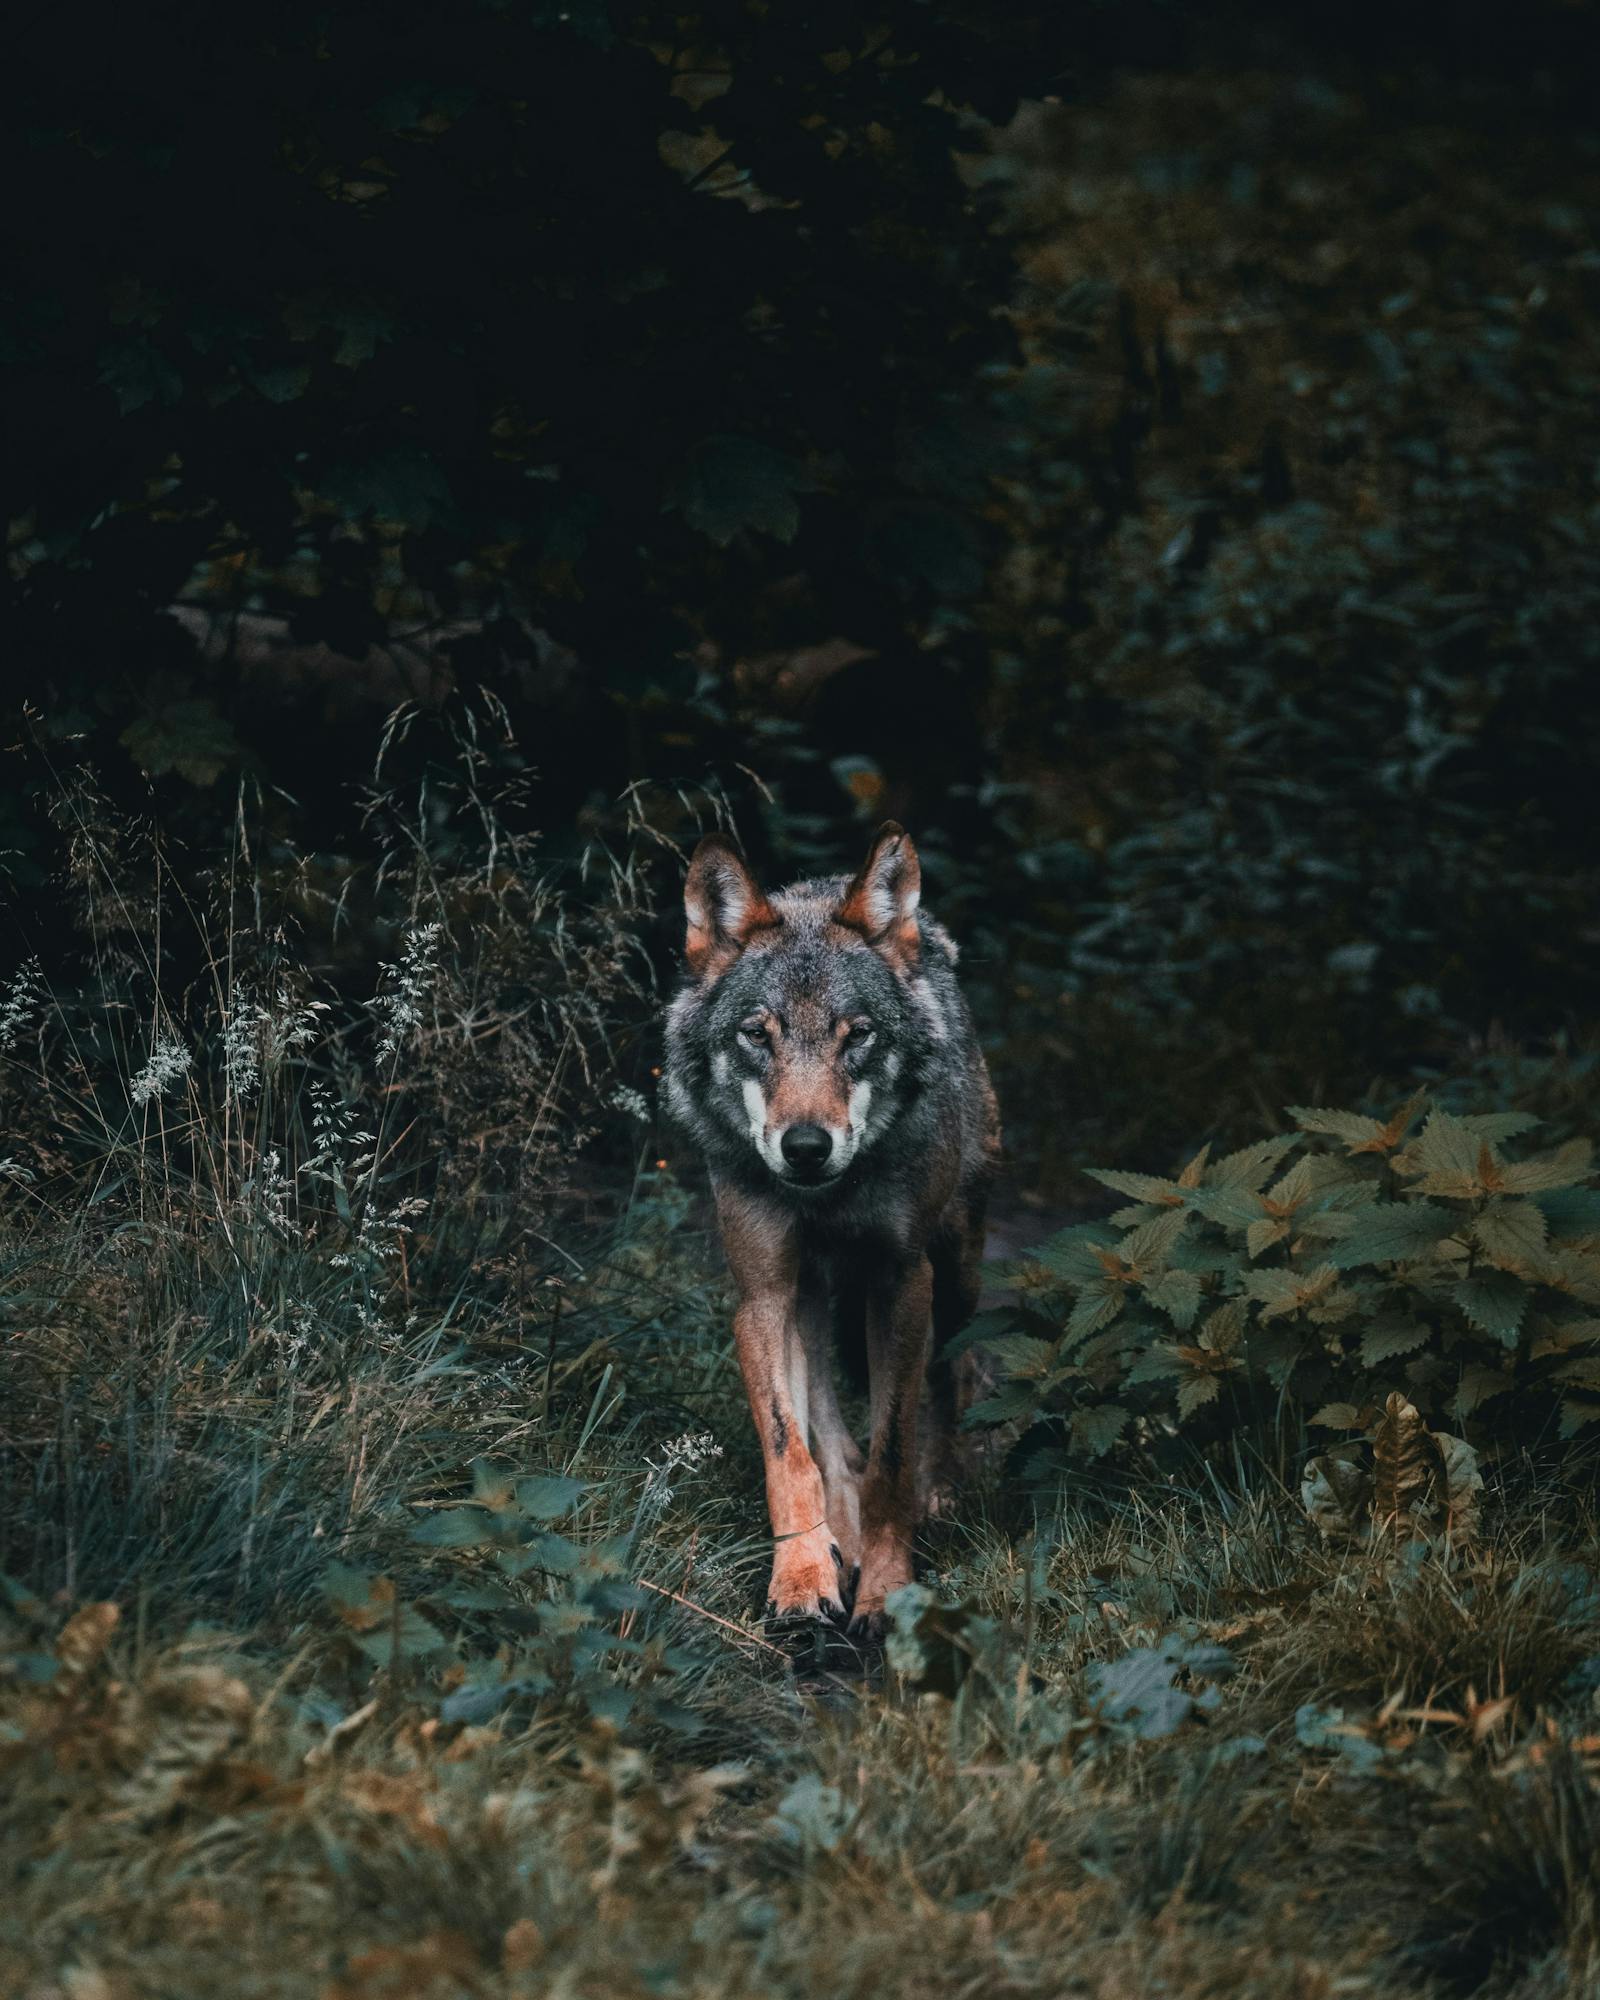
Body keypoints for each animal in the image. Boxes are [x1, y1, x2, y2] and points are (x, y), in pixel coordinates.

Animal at [662, 822, 999, 1639]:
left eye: (859, 1036)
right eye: (758, 1035)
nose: (807, 1147)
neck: (828, 1200)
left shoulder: (902, 1282)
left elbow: (891, 1454)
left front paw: (886, 1588)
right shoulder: (762, 1295)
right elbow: (792, 1453)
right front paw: (802, 1577)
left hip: (958, 1275)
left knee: (951, 1377)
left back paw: (939, 1494)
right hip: (810, 1298)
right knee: (827, 1428)